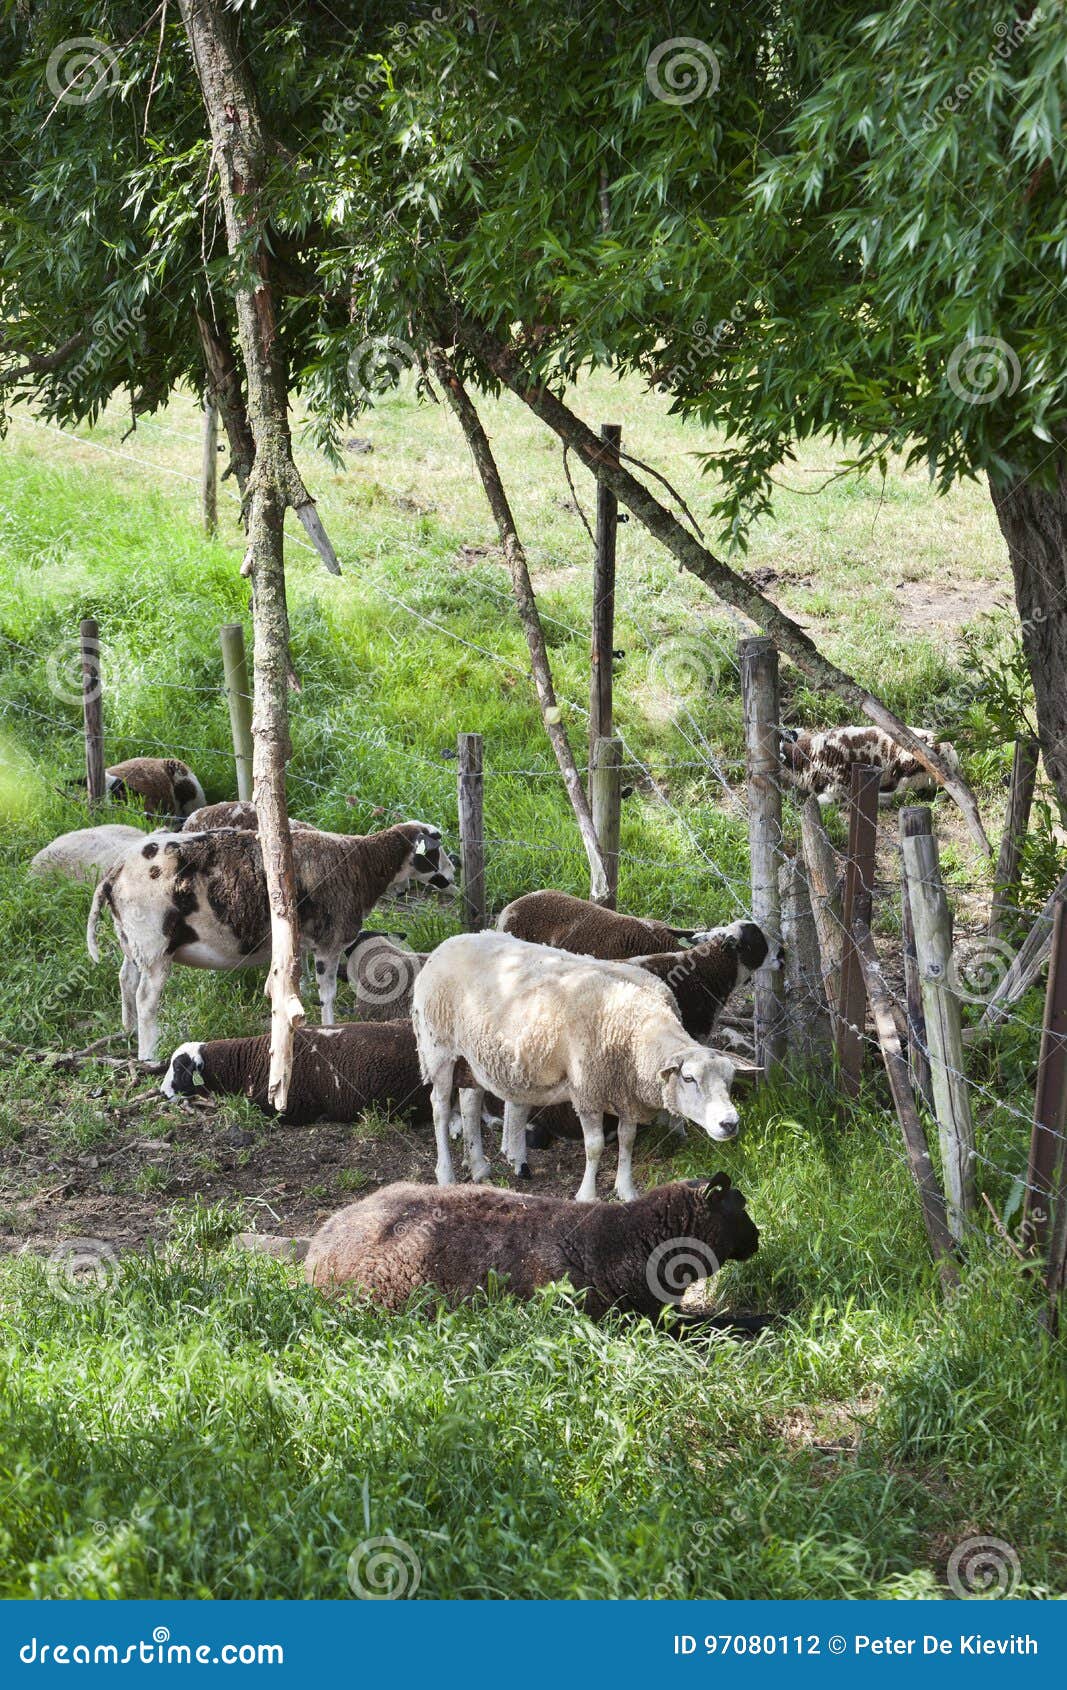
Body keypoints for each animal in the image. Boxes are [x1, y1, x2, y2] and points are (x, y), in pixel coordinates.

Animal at [87, 819, 456, 1059]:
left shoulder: (304, 940)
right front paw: (330, 1027)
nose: (453, 877)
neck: (362, 864)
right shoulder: (330, 939)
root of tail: (113, 874)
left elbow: (301, 980)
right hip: (154, 945)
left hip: (132, 941)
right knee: (146, 998)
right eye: (436, 848)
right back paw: (147, 1053)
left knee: (125, 980)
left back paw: (128, 1031)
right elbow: (328, 994)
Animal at [412, 930, 739, 1203]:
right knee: (440, 1109)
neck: (639, 1031)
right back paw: (446, 1174)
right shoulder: (588, 1091)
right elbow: (594, 1146)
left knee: (470, 1100)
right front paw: (587, 1195)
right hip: (438, 1049)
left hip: (473, 1056)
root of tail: (446, 944)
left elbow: (627, 1140)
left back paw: (478, 1166)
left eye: (730, 1080)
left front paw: (626, 1190)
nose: (730, 1123)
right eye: (689, 1078)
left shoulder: (625, 1091)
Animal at [779, 725, 960, 807]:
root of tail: (954, 759)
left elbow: (821, 798)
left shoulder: (839, 783)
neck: (810, 755)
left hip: (911, 769)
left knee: (898, 795)